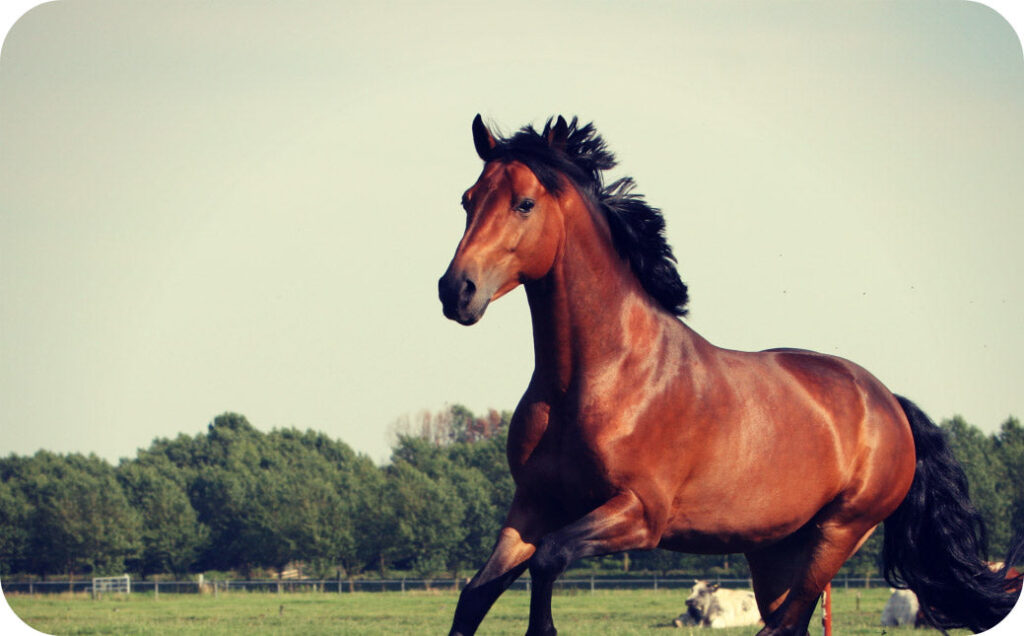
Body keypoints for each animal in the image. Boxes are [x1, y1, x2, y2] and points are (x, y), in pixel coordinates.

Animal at [437, 114, 1023, 635]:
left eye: (525, 203)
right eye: (468, 199)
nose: (456, 290)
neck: (594, 379)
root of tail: (888, 402)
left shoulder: (639, 514)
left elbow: (548, 561)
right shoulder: (532, 507)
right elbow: (474, 597)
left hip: (837, 534)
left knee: (783, 627)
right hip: (774, 551)